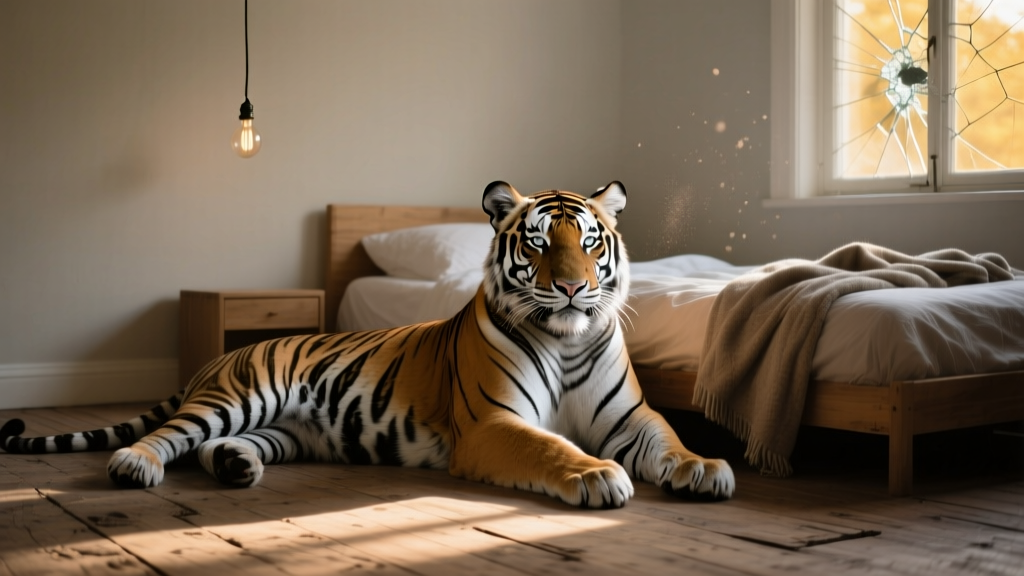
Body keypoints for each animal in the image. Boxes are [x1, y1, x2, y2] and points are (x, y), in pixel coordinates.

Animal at [0, 181, 735, 508]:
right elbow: (550, 446)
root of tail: (224, 356)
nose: (576, 288)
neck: (569, 342)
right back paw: (135, 465)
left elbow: (669, 439)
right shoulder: (494, 424)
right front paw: (596, 474)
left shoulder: (632, 418)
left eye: (588, 241)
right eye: (535, 244)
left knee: (216, 447)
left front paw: (704, 467)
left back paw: (236, 466)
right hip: (239, 397)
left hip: (287, 430)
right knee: (170, 435)